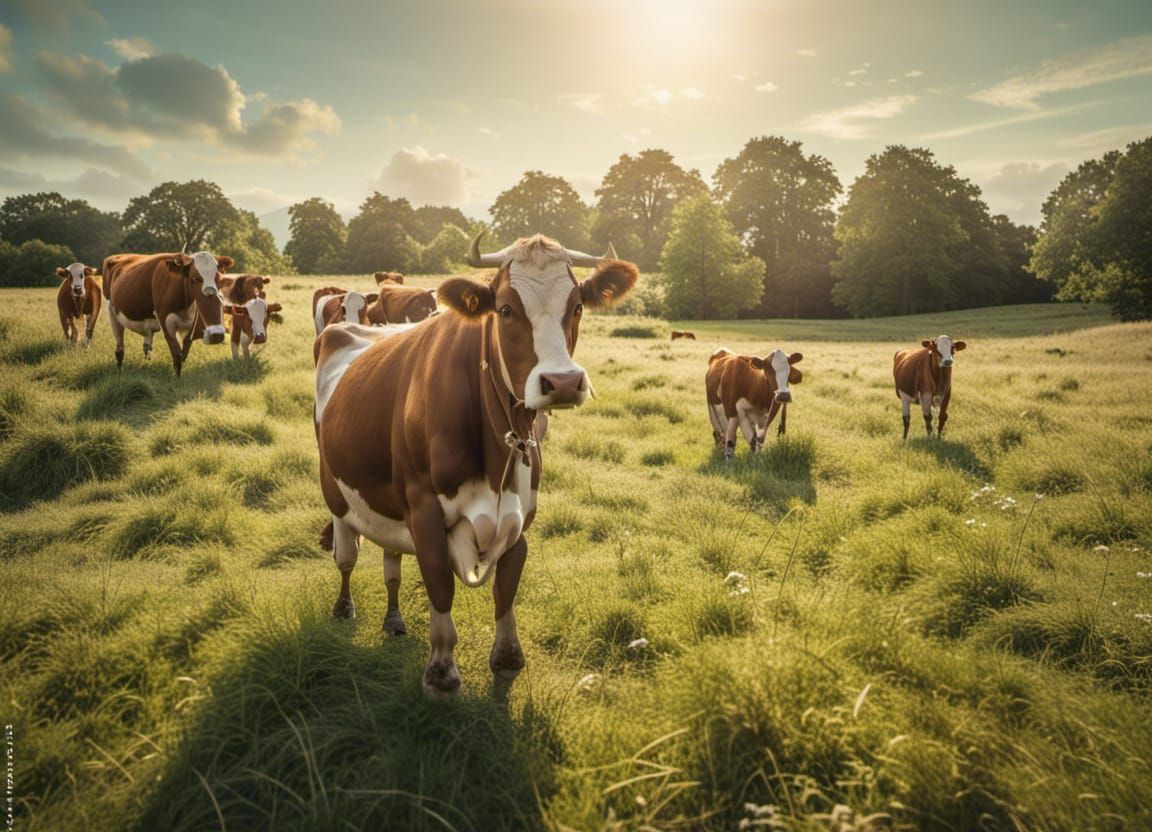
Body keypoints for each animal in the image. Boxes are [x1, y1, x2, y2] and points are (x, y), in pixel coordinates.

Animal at [102, 251, 234, 376]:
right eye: (195, 278)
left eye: (219, 279)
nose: (217, 335)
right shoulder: (165, 320)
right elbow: (176, 353)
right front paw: (177, 379)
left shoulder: (192, 325)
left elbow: (184, 349)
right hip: (112, 312)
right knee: (119, 349)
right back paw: (120, 370)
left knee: (147, 347)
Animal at [314, 233, 637, 695]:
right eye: (504, 309)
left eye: (576, 306)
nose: (562, 383)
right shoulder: (424, 510)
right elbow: (440, 586)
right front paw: (441, 672)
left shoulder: (522, 516)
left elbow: (506, 590)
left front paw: (507, 657)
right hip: (336, 490)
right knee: (346, 556)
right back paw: (344, 607)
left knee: (391, 560)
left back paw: (394, 618)